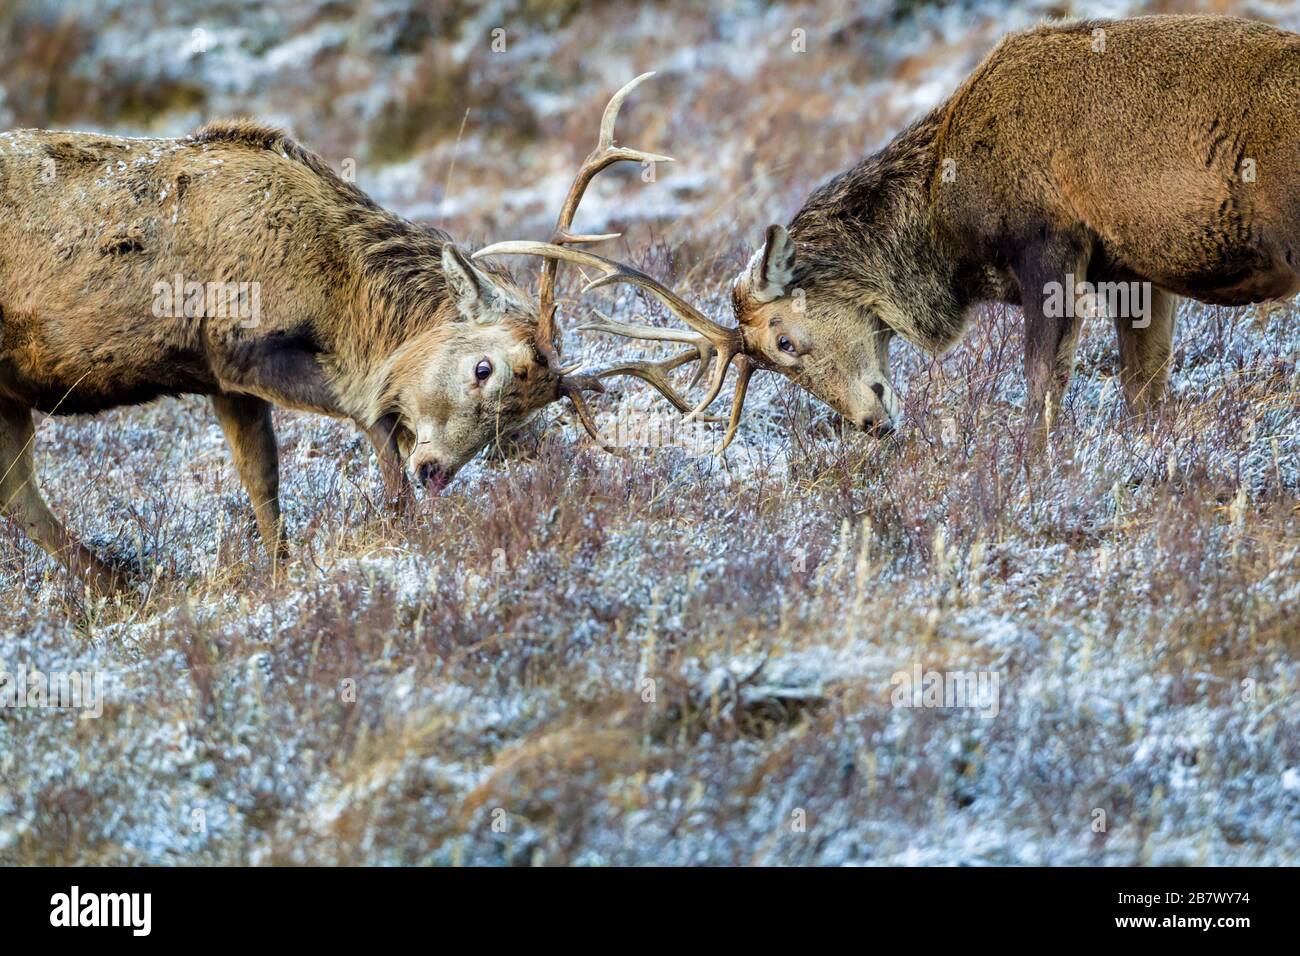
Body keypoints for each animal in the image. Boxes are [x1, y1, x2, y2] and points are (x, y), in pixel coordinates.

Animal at [0, 75, 672, 595]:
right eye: (484, 368)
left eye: (521, 415)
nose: (437, 471)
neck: (335, 292)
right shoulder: (237, 346)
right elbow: (367, 411)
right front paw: (398, 514)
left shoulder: (222, 380)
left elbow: (263, 479)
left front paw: (281, 569)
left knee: (17, 491)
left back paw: (114, 582)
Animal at [482, 15, 1300, 450]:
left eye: (785, 340)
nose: (873, 423)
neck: (945, 212)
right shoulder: (1136, 270)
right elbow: (1146, 386)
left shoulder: (1051, 242)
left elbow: (1044, 382)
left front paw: (1034, 469)